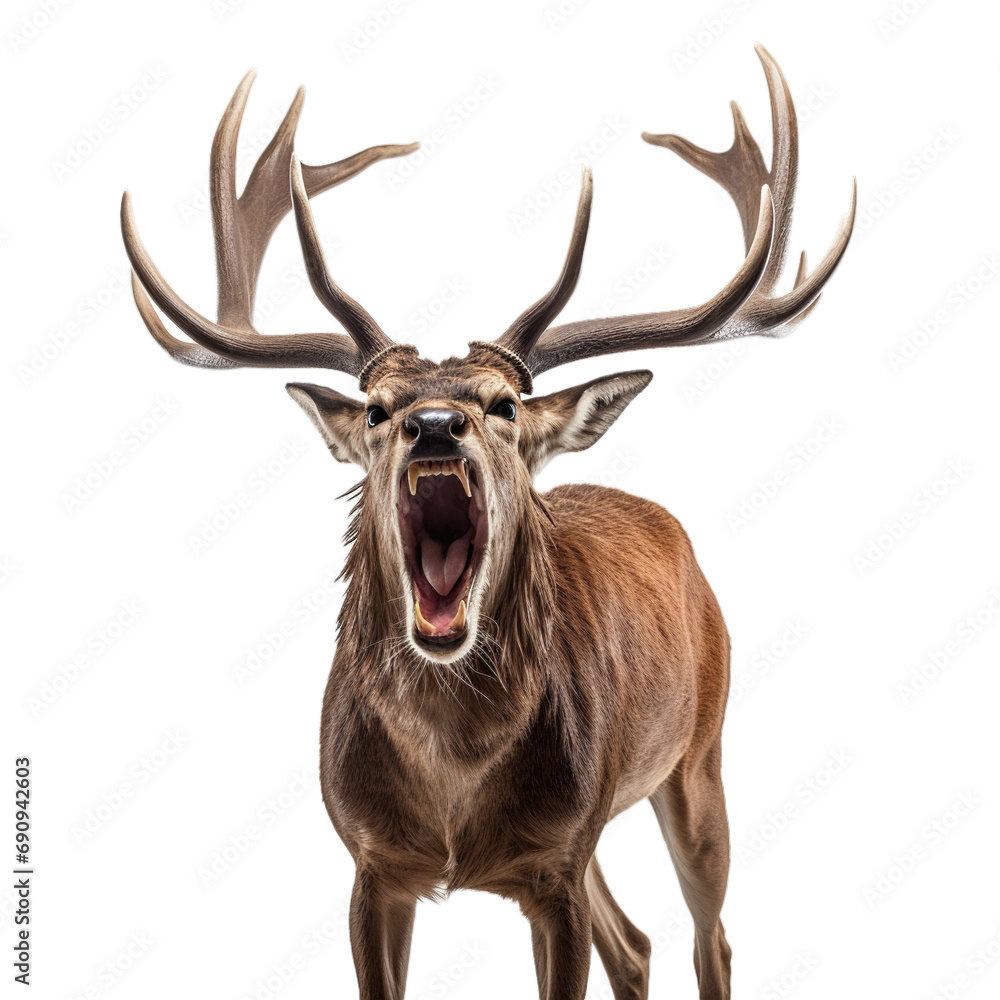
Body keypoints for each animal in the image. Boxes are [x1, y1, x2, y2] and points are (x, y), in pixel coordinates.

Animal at [121, 46, 854, 1000]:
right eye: (376, 409)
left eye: (504, 404)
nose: (436, 423)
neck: (452, 783)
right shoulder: (372, 864)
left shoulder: (556, 866)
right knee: (636, 941)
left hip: (699, 753)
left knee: (712, 938)